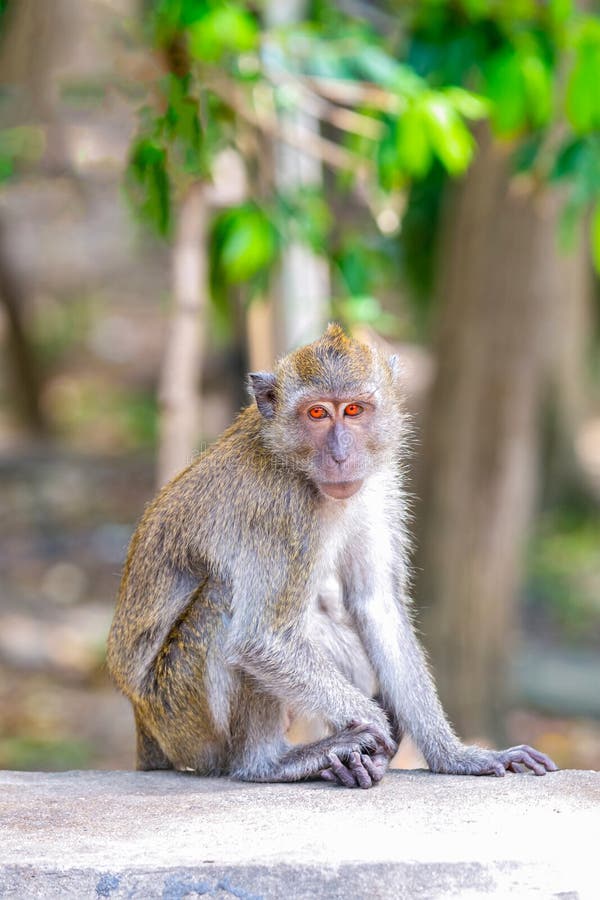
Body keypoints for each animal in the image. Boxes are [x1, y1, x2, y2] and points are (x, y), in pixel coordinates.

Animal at [107, 324, 557, 788]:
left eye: (354, 410)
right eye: (318, 413)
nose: (341, 455)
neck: (294, 463)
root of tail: (142, 722)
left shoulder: (377, 483)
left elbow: (377, 606)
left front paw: (455, 755)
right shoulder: (282, 509)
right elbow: (262, 640)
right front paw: (375, 725)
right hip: (182, 717)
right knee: (226, 601)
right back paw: (270, 763)